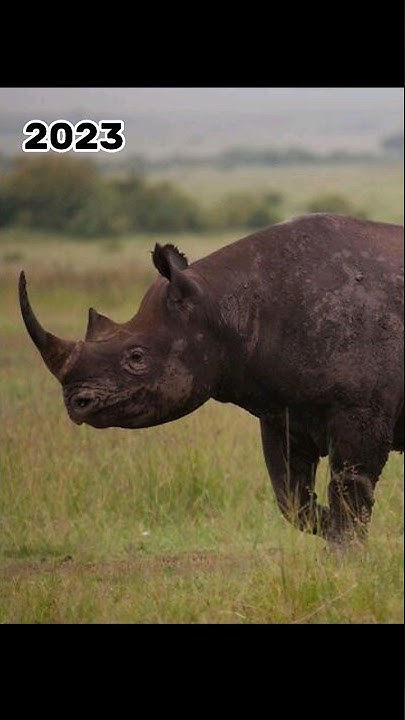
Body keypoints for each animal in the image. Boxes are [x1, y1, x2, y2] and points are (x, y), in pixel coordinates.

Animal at [19, 213, 404, 544]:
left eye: (137, 358)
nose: (76, 403)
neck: (224, 306)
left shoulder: (358, 410)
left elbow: (350, 490)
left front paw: (344, 557)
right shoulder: (282, 411)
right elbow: (291, 497)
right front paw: (324, 523)